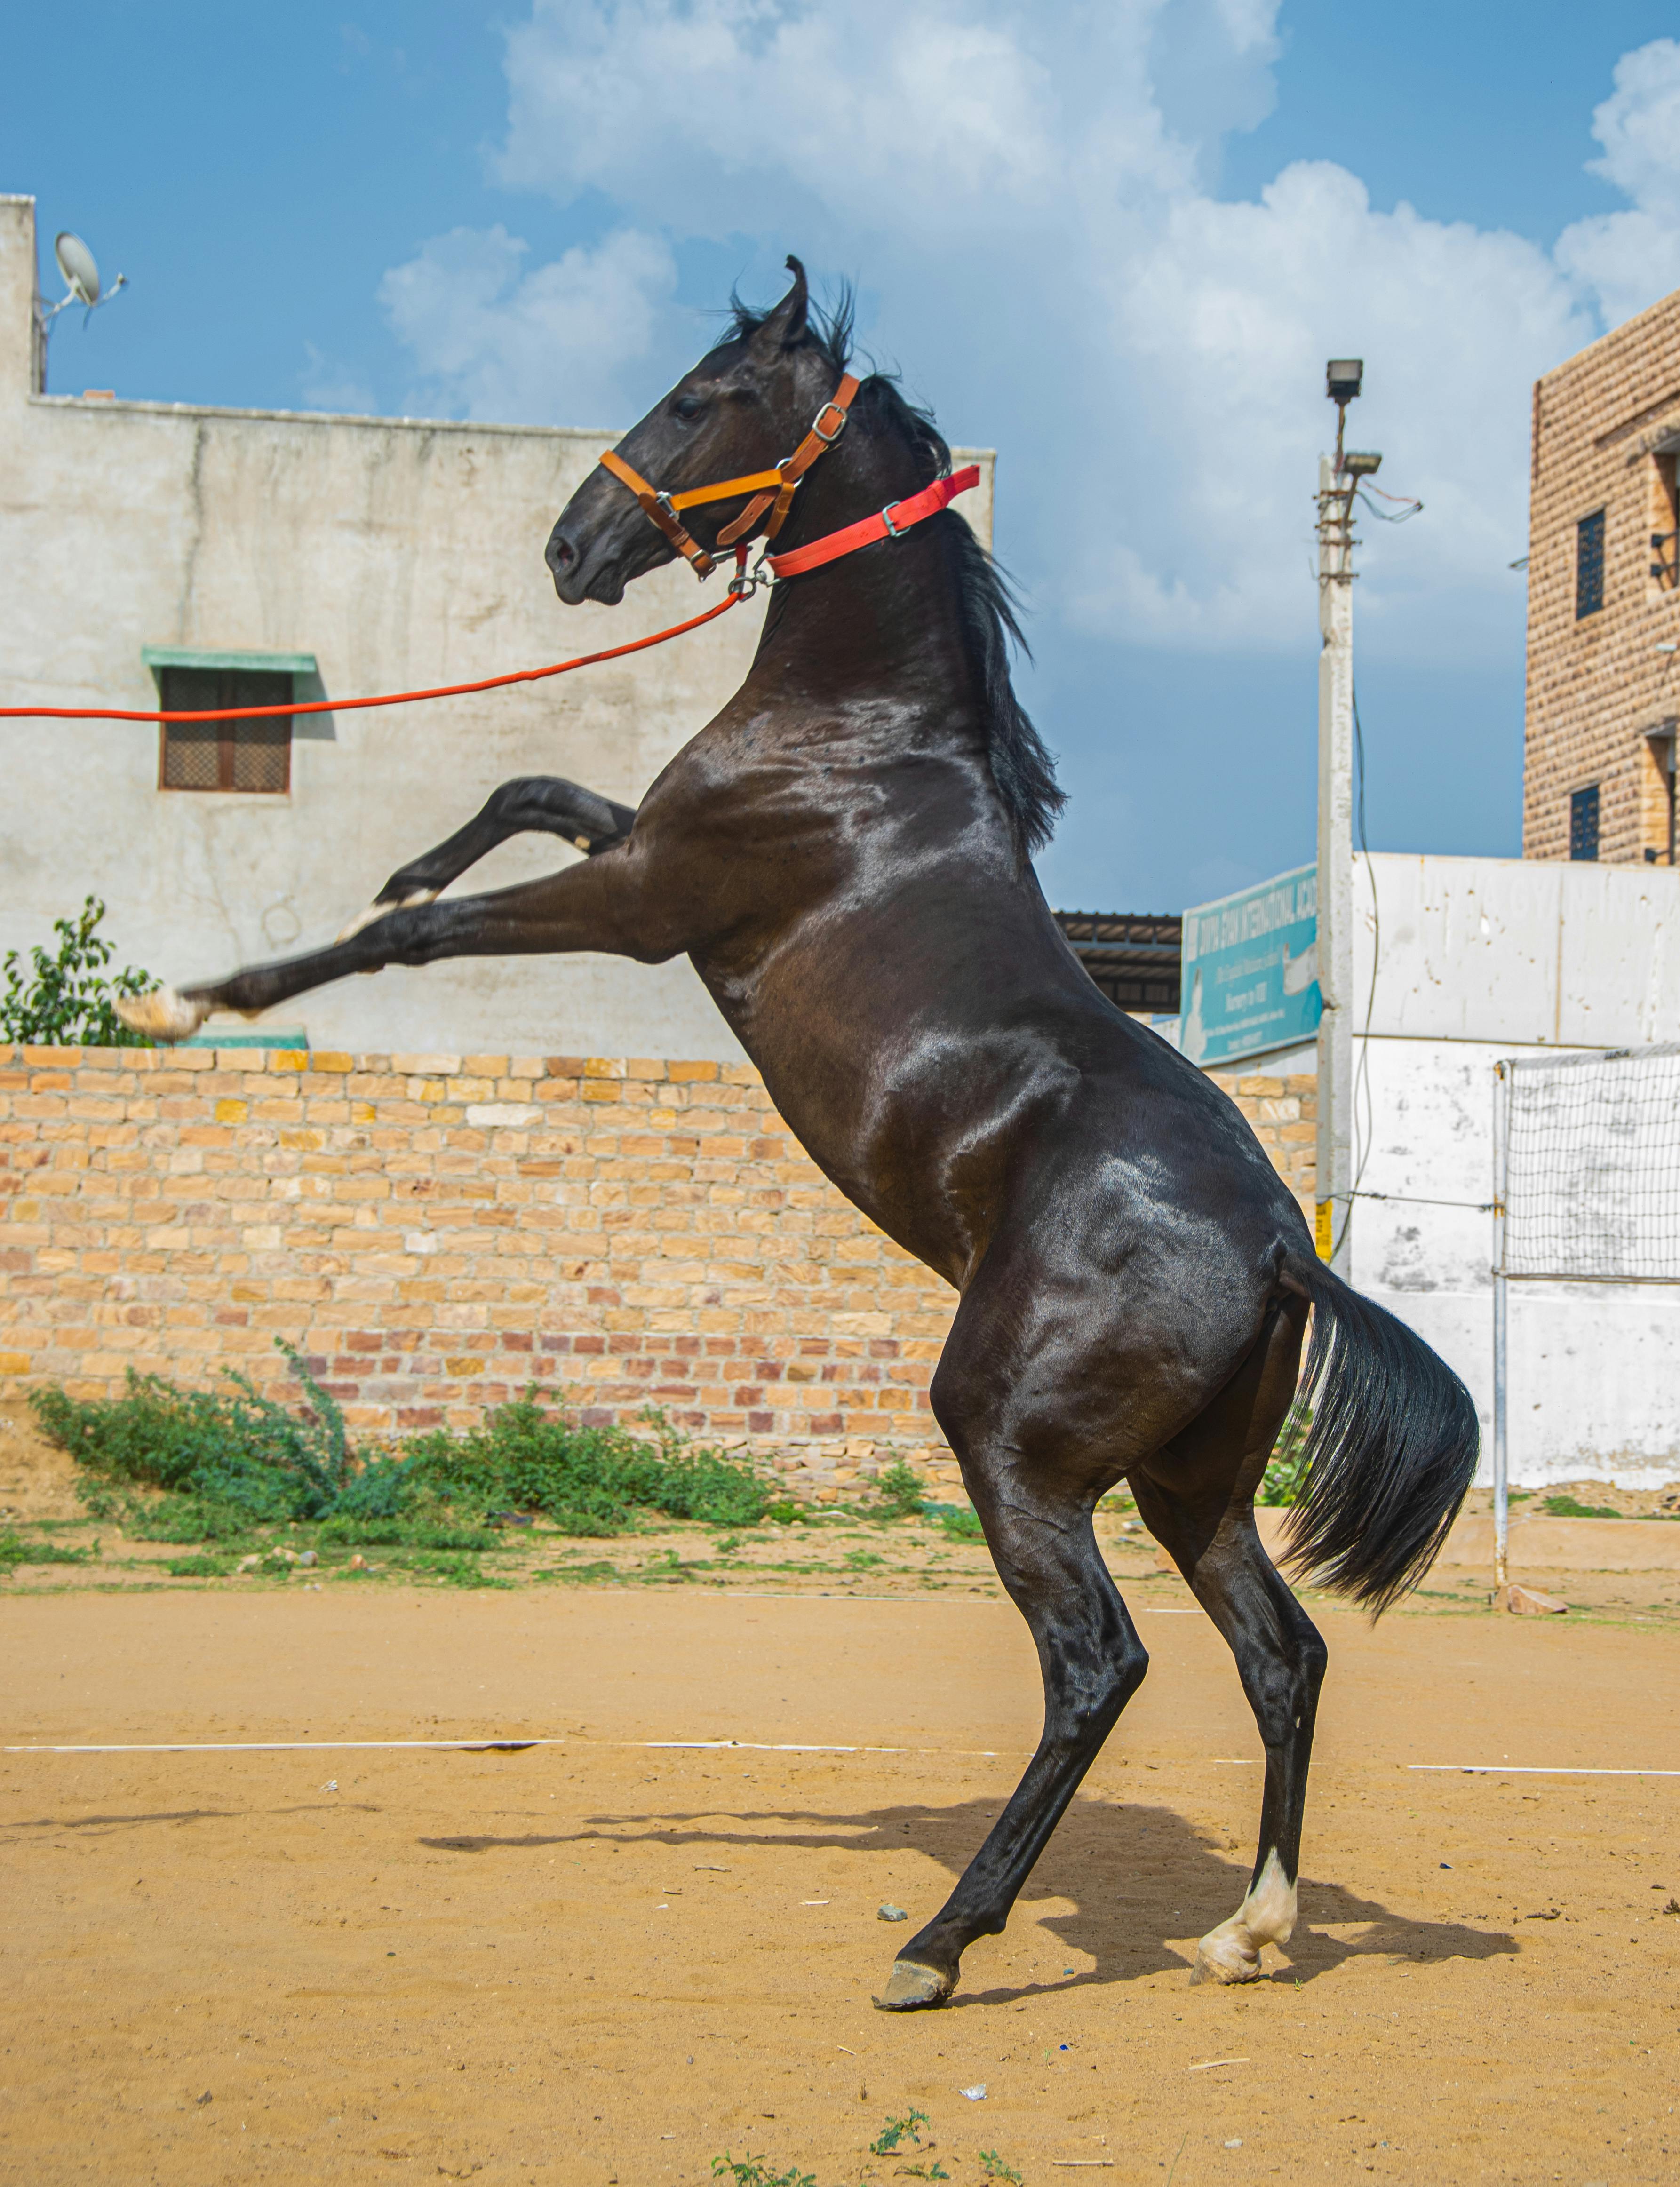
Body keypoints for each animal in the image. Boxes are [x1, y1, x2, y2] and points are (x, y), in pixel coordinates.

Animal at [120, 259, 1478, 2010]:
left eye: (701, 395)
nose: (569, 548)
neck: (861, 739)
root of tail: (1273, 1245)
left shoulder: (646, 900)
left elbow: (419, 935)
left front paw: (203, 993)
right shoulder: (643, 853)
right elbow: (526, 786)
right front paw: (403, 859)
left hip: (1013, 1443)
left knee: (1097, 1665)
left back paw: (942, 1939)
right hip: (1193, 1488)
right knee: (1282, 1652)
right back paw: (1247, 1926)